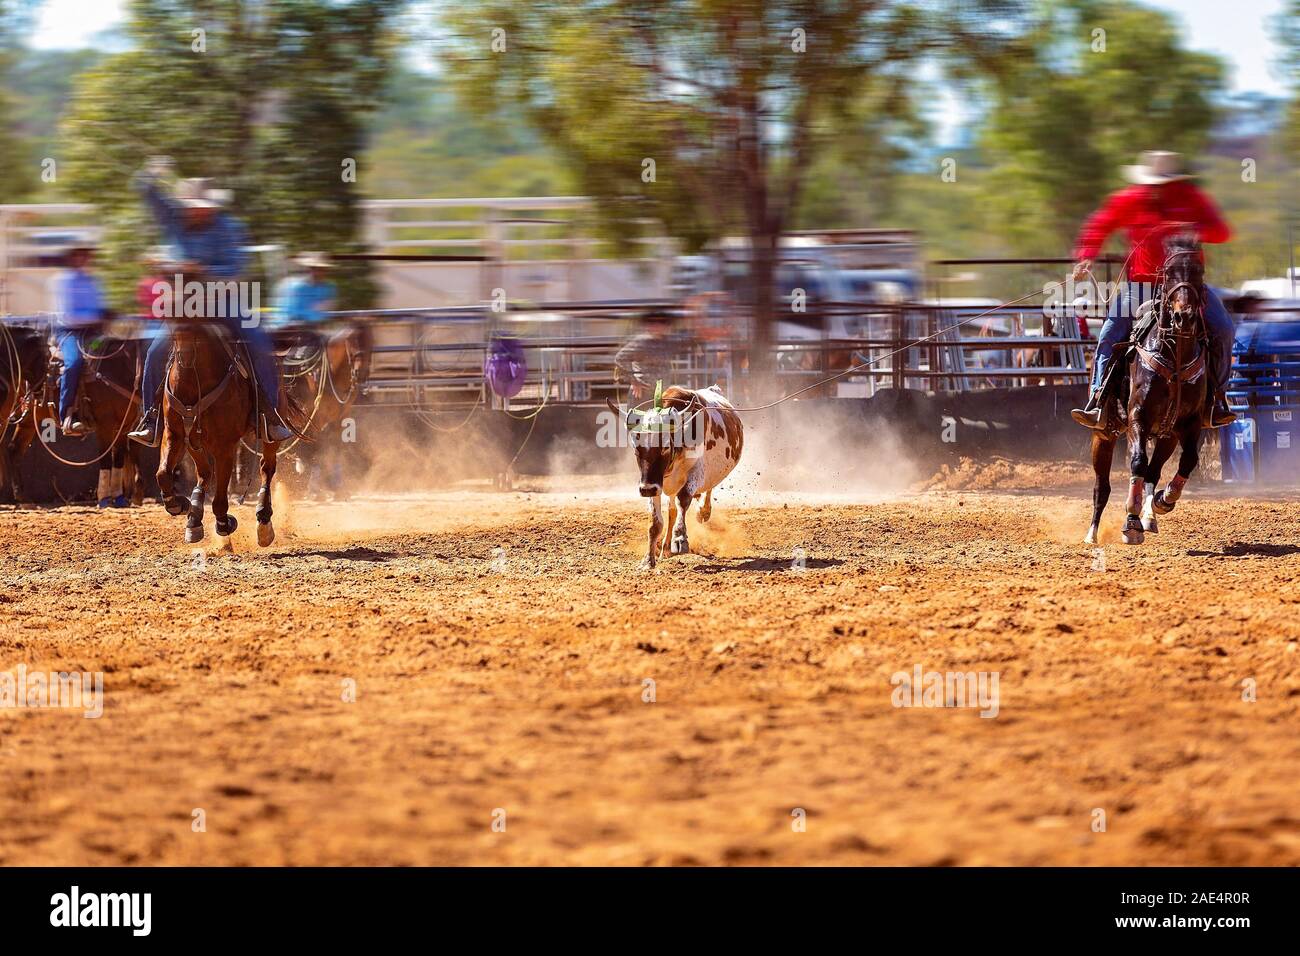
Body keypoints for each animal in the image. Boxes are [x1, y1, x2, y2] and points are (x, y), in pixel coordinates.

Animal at [607, 384, 744, 568]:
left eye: (665, 446)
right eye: (636, 448)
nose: (646, 490)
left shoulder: (696, 473)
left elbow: (683, 499)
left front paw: (680, 538)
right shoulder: (654, 483)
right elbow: (656, 522)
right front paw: (648, 559)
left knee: (707, 490)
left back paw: (703, 511)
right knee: (671, 511)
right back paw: (664, 549)